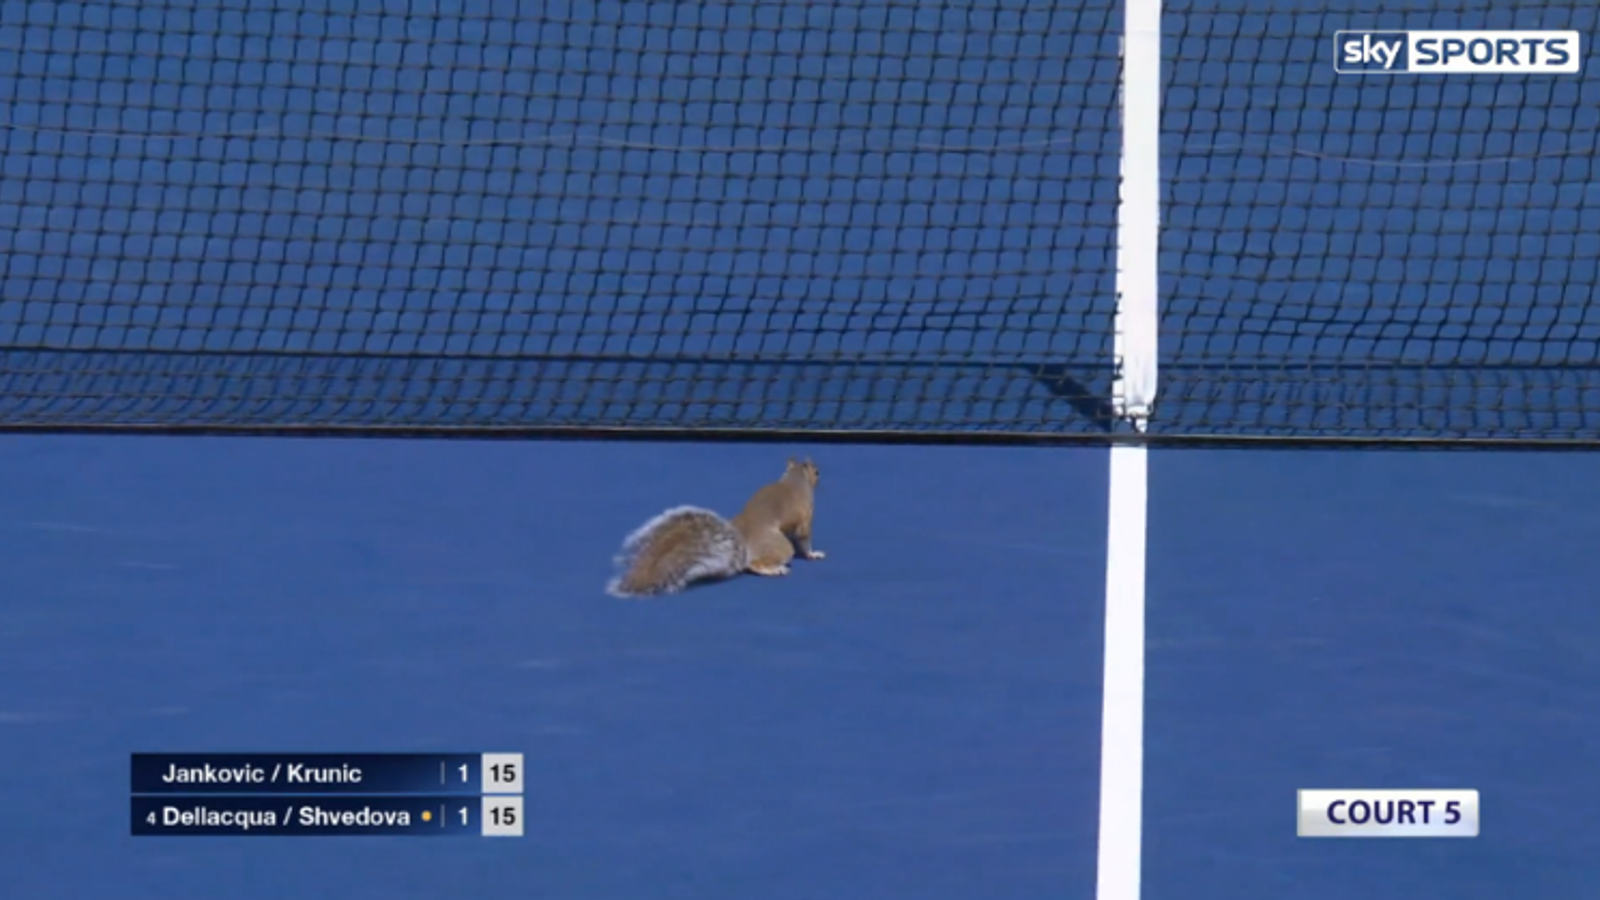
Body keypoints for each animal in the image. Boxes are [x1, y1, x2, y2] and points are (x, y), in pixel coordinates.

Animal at [606, 457, 825, 598]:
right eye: (816, 471)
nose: (819, 475)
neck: (794, 479)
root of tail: (741, 537)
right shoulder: (806, 516)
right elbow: (804, 537)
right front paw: (813, 554)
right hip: (779, 546)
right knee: (755, 564)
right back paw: (775, 570)